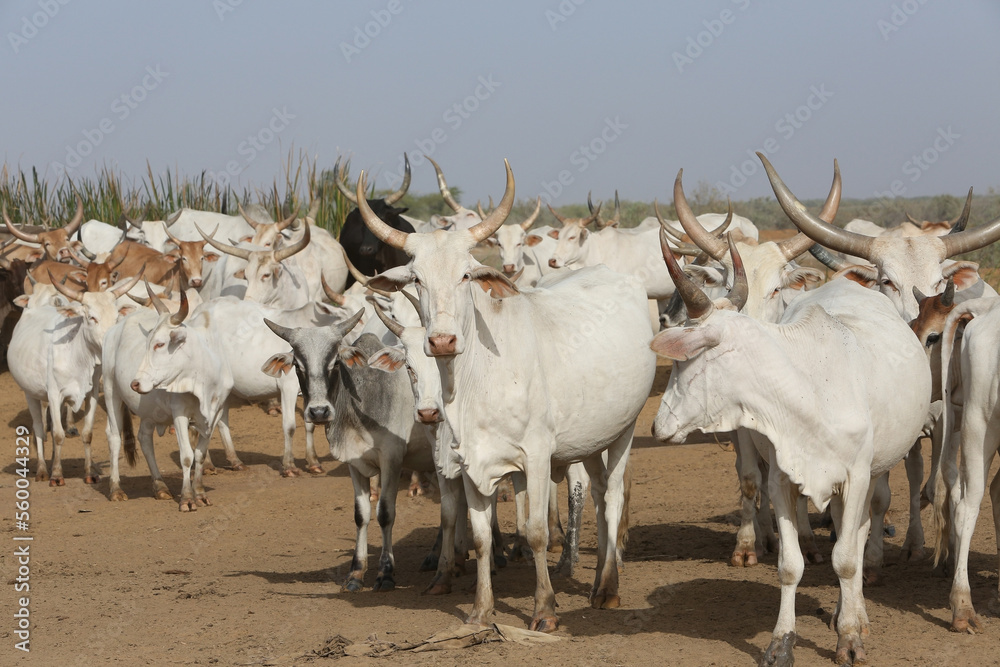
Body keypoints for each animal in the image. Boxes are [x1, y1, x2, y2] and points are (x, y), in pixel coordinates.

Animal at [8, 270, 141, 485]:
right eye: (92, 317)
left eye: (116, 318)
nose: (110, 341)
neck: (79, 356)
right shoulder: (54, 395)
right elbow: (57, 434)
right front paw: (56, 475)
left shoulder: (91, 394)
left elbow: (87, 433)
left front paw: (89, 472)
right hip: (30, 393)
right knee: (39, 428)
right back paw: (43, 469)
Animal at [104, 288, 234, 510]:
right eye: (148, 343)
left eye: (159, 344)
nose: (135, 384)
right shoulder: (179, 413)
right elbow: (187, 456)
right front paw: (187, 498)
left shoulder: (214, 413)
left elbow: (200, 455)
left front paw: (200, 493)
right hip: (110, 390)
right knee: (114, 437)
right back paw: (115, 489)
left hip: (148, 411)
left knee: (145, 438)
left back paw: (160, 486)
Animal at [357, 161, 657, 632]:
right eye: (417, 278)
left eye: (466, 274)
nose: (442, 340)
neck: (477, 379)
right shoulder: (470, 461)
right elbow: (480, 536)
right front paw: (481, 611)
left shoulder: (535, 455)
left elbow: (535, 531)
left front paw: (545, 610)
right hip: (592, 437)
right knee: (596, 491)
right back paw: (595, 585)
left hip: (624, 429)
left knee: (612, 498)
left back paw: (608, 588)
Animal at [651, 235, 931, 667]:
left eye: (685, 362)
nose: (657, 426)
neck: (807, 387)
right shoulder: (782, 481)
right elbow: (789, 565)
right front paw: (781, 642)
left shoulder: (856, 477)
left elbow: (846, 559)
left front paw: (850, 636)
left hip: (873, 473)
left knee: (859, 537)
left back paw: (854, 613)